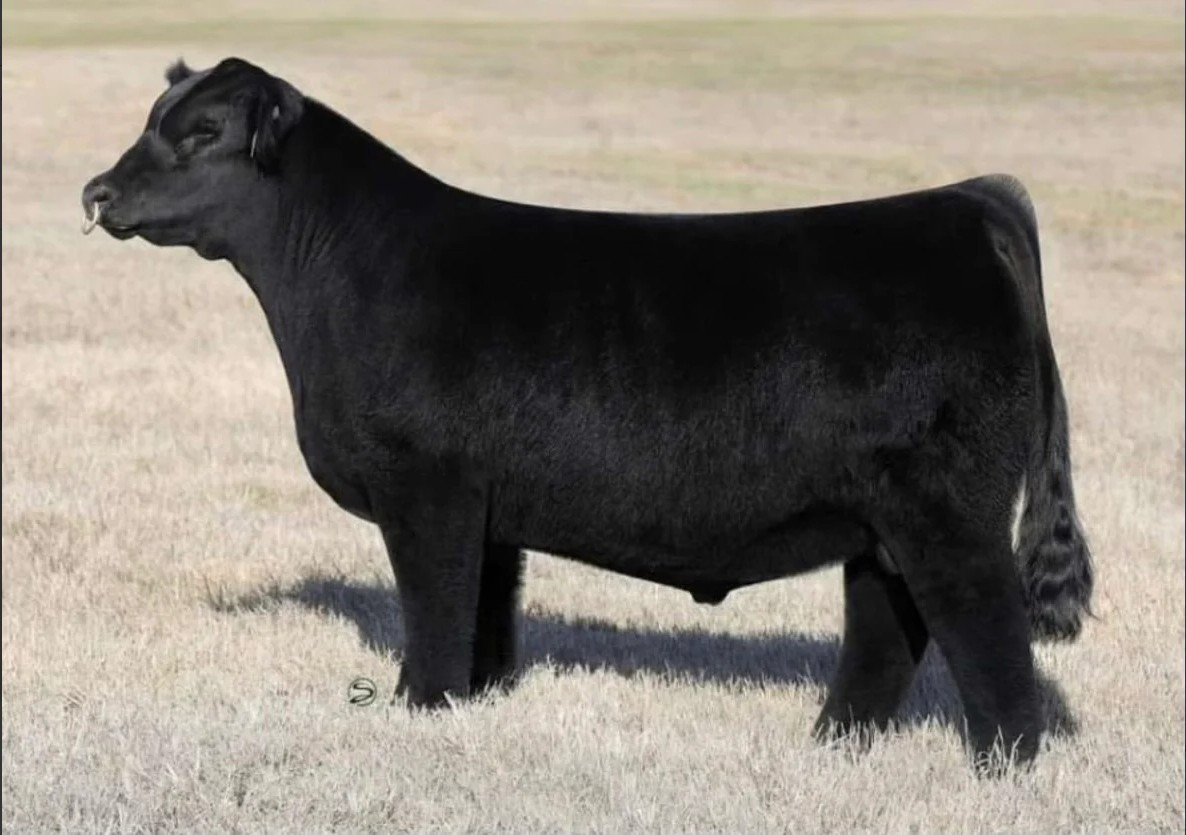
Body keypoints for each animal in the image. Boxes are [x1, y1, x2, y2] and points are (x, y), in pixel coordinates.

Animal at [81, 57, 1093, 771]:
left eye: (203, 131)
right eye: (150, 122)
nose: (98, 192)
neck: (341, 274)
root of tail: (967, 201)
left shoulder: (427, 488)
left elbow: (434, 609)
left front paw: (416, 706)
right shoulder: (488, 506)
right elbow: (486, 613)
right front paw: (472, 705)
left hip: (948, 512)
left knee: (986, 629)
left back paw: (1004, 769)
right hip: (881, 517)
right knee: (887, 624)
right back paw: (832, 745)